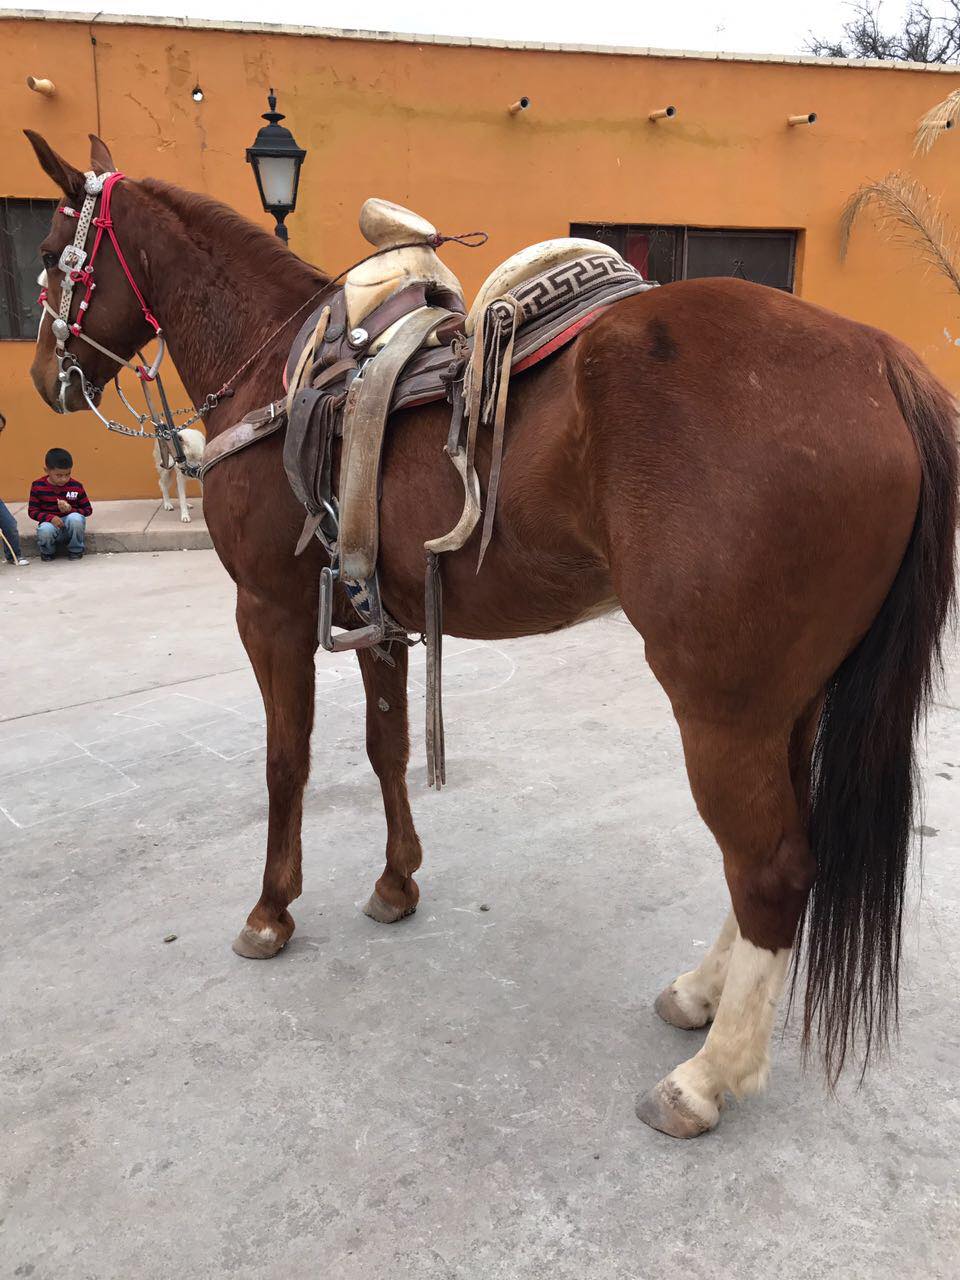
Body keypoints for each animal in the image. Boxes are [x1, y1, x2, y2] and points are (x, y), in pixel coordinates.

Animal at [24, 130, 957, 1139]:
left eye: (52, 252)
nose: (44, 379)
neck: (280, 372)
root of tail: (881, 365)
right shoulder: (374, 612)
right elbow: (387, 748)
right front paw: (396, 885)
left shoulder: (268, 611)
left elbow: (286, 762)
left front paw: (271, 911)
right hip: (790, 702)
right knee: (780, 858)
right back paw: (700, 996)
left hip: (724, 706)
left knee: (771, 866)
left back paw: (709, 1077)